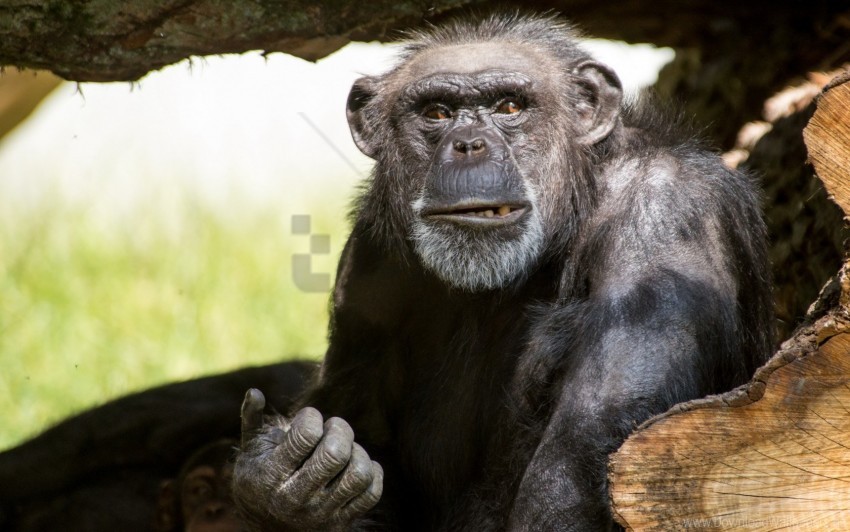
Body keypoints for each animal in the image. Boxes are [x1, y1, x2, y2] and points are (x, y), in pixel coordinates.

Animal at [232, 12, 774, 531]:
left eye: (510, 107)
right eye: (436, 112)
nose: (469, 143)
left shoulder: (662, 225)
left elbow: (572, 481)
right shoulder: (370, 259)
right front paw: (281, 486)